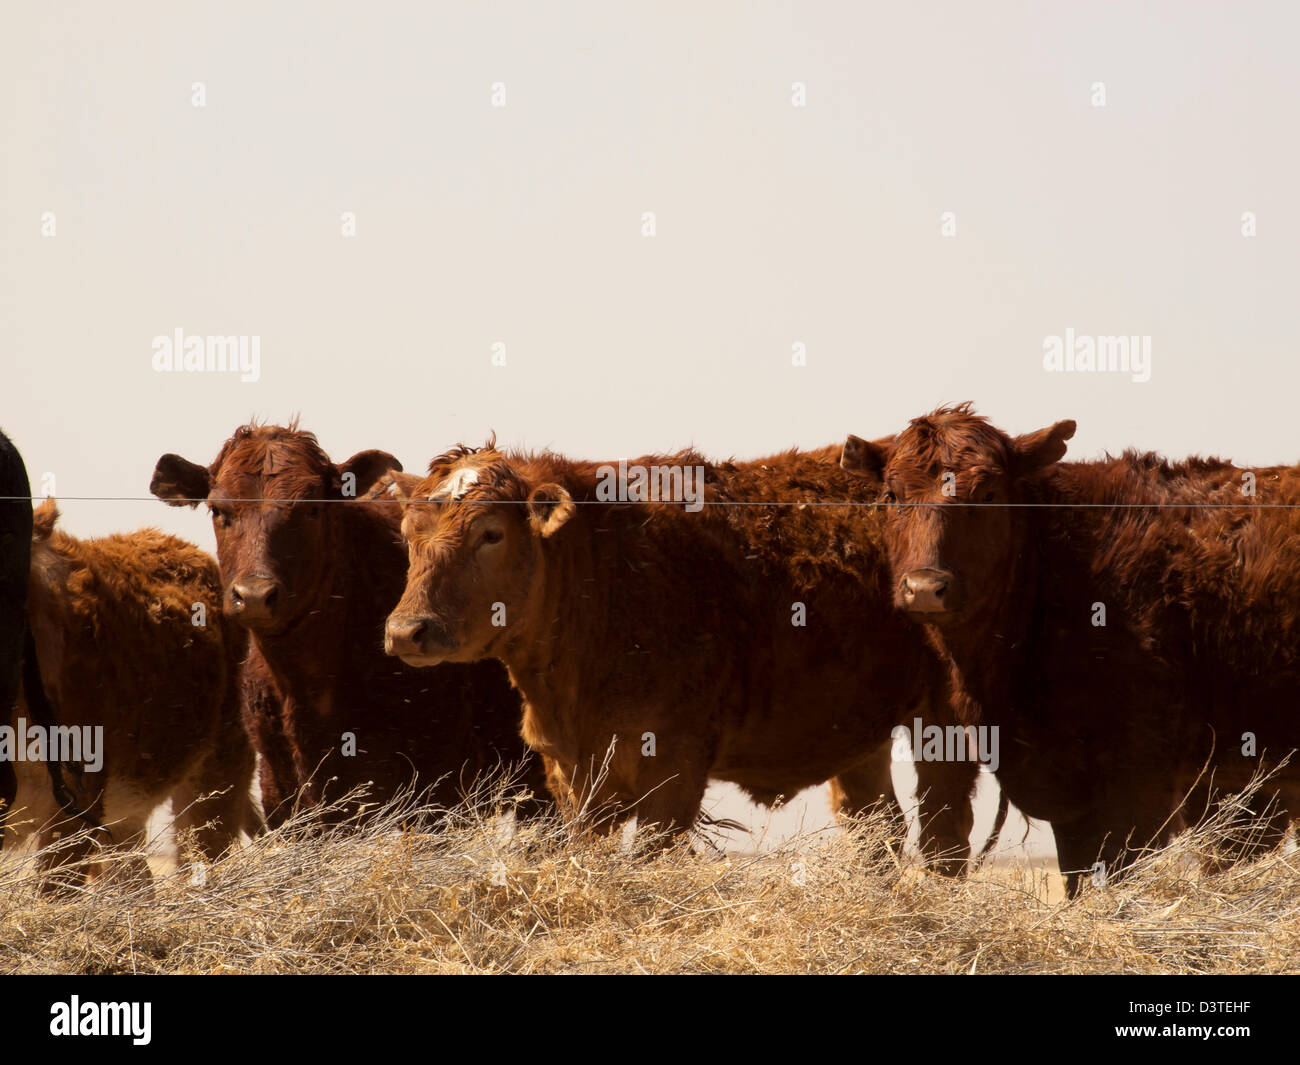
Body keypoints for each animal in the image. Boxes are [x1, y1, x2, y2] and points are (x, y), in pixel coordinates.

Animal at [379, 438, 991, 873]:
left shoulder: (673, 768)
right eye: (409, 534)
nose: (408, 631)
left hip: (945, 719)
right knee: (878, 832)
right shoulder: (574, 776)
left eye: (491, 534)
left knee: (944, 836)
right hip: (859, 735)